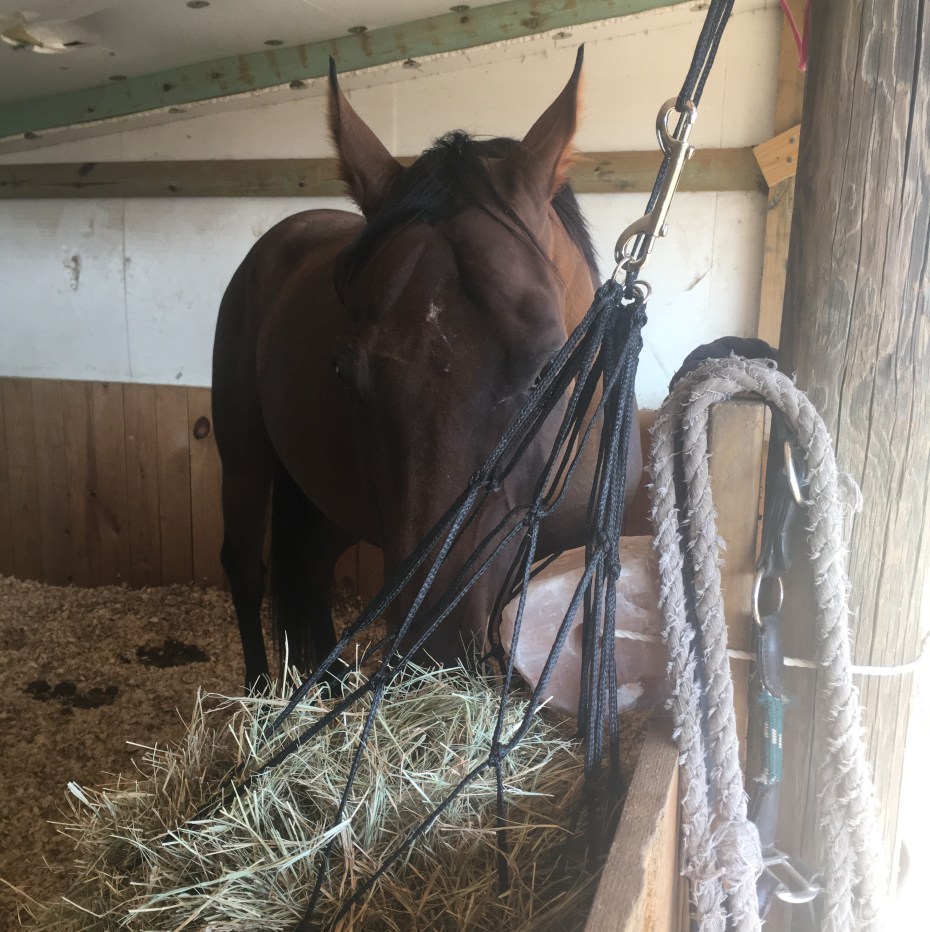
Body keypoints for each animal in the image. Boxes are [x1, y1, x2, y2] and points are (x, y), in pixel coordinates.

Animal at [212, 48, 642, 689]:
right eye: (344, 372)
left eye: (546, 370)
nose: (431, 647)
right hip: (244, 459)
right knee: (245, 568)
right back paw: (262, 694)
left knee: (310, 567)